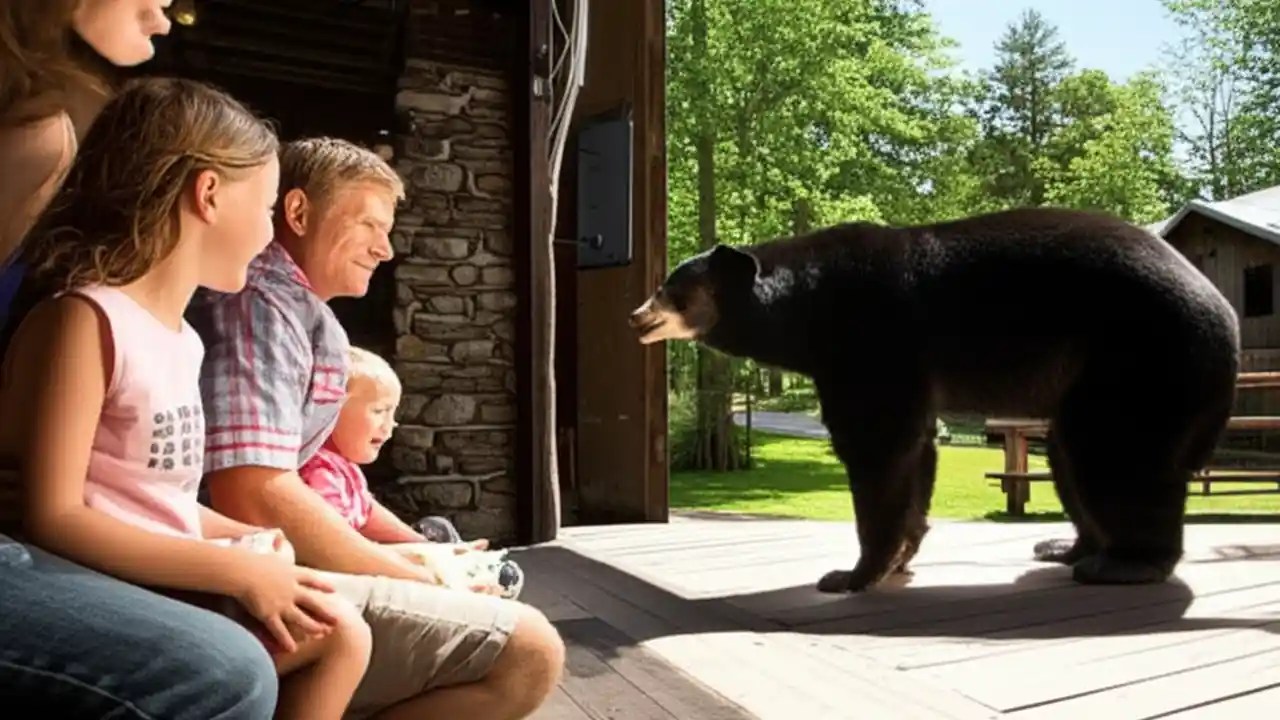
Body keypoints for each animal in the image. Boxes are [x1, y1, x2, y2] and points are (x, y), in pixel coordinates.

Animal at [629, 206, 1240, 593]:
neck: (806, 307)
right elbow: (916, 447)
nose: (636, 316)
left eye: (667, 287)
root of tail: (1227, 316)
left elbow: (877, 444)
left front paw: (853, 574)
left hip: (1140, 355)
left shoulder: (871, 339)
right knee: (1074, 455)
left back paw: (1122, 563)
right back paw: (1066, 547)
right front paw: (899, 556)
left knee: (1115, 453)